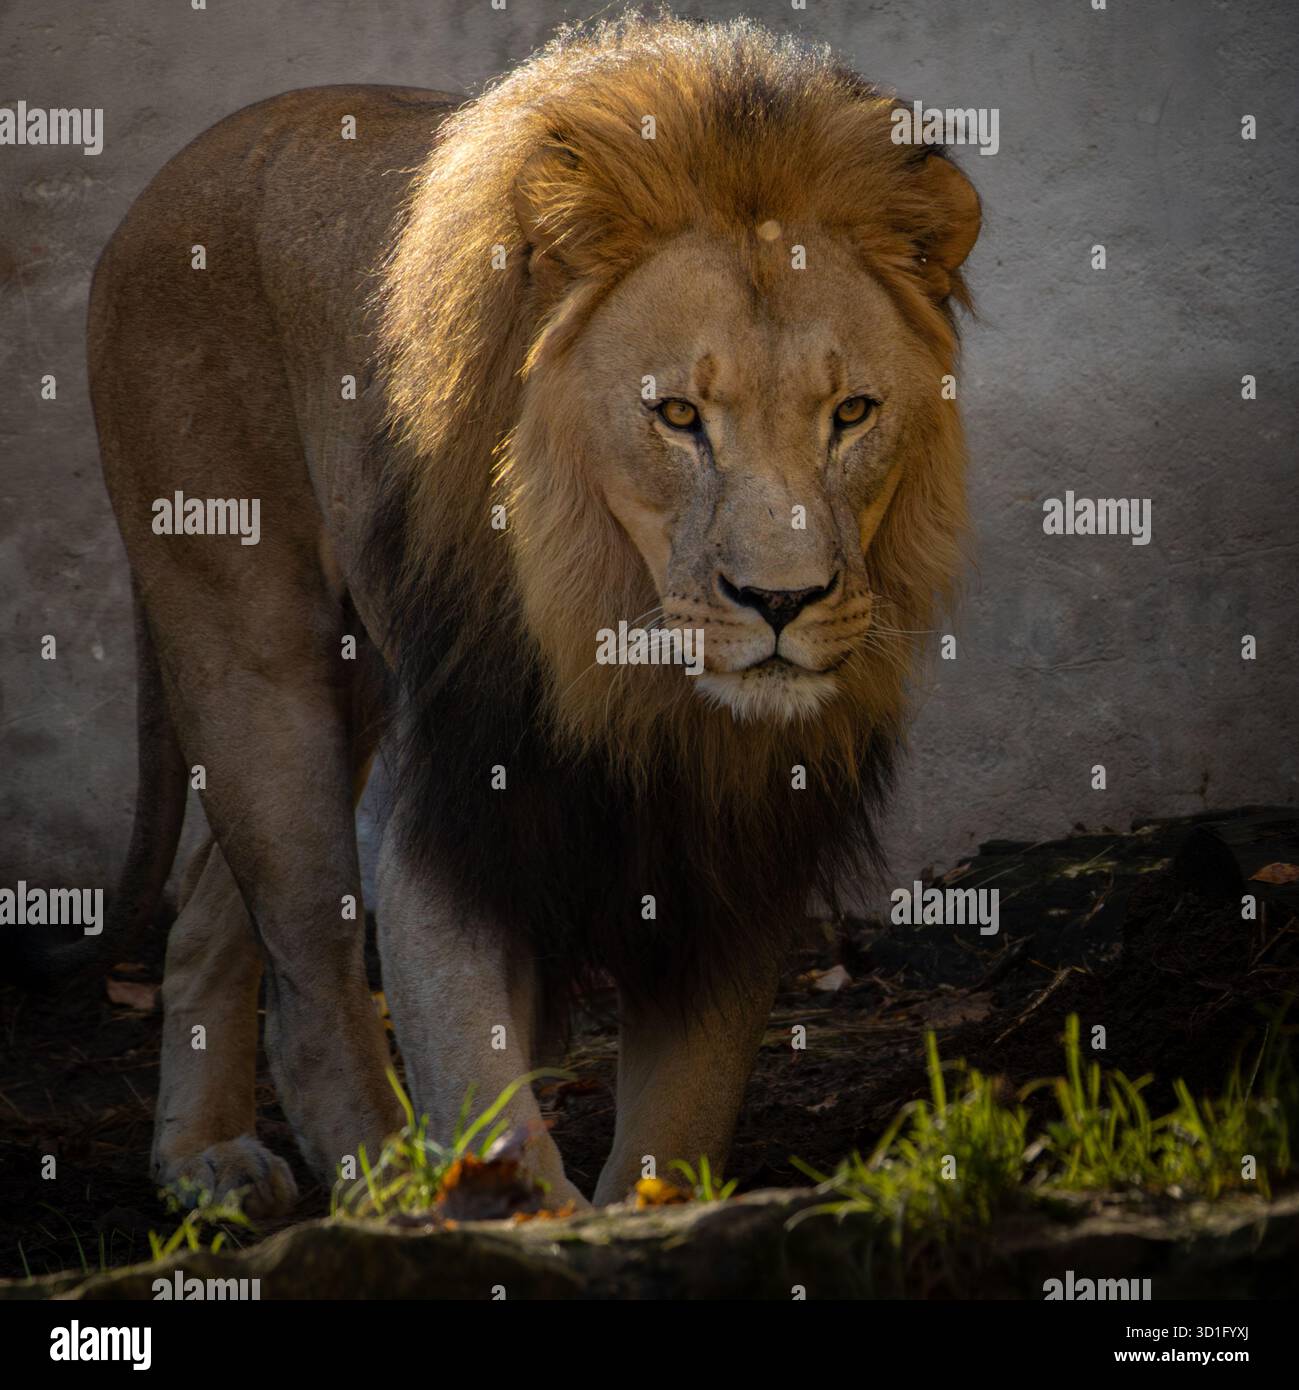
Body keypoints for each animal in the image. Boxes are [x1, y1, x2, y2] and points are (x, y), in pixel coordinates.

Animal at [86, 15, 979, 1214]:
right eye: (677, 415)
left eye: (852, 414)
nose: (780, 601)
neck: (630, 655)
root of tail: (178, 170)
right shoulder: (456, 808)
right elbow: (477, 1081)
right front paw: (520, 1209)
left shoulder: (741, 851)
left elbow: (682, 1114)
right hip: (248, 654)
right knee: (309, 962)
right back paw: (360, 1182)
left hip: (354, 675)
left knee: (211, 908)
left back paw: (207, 1153)